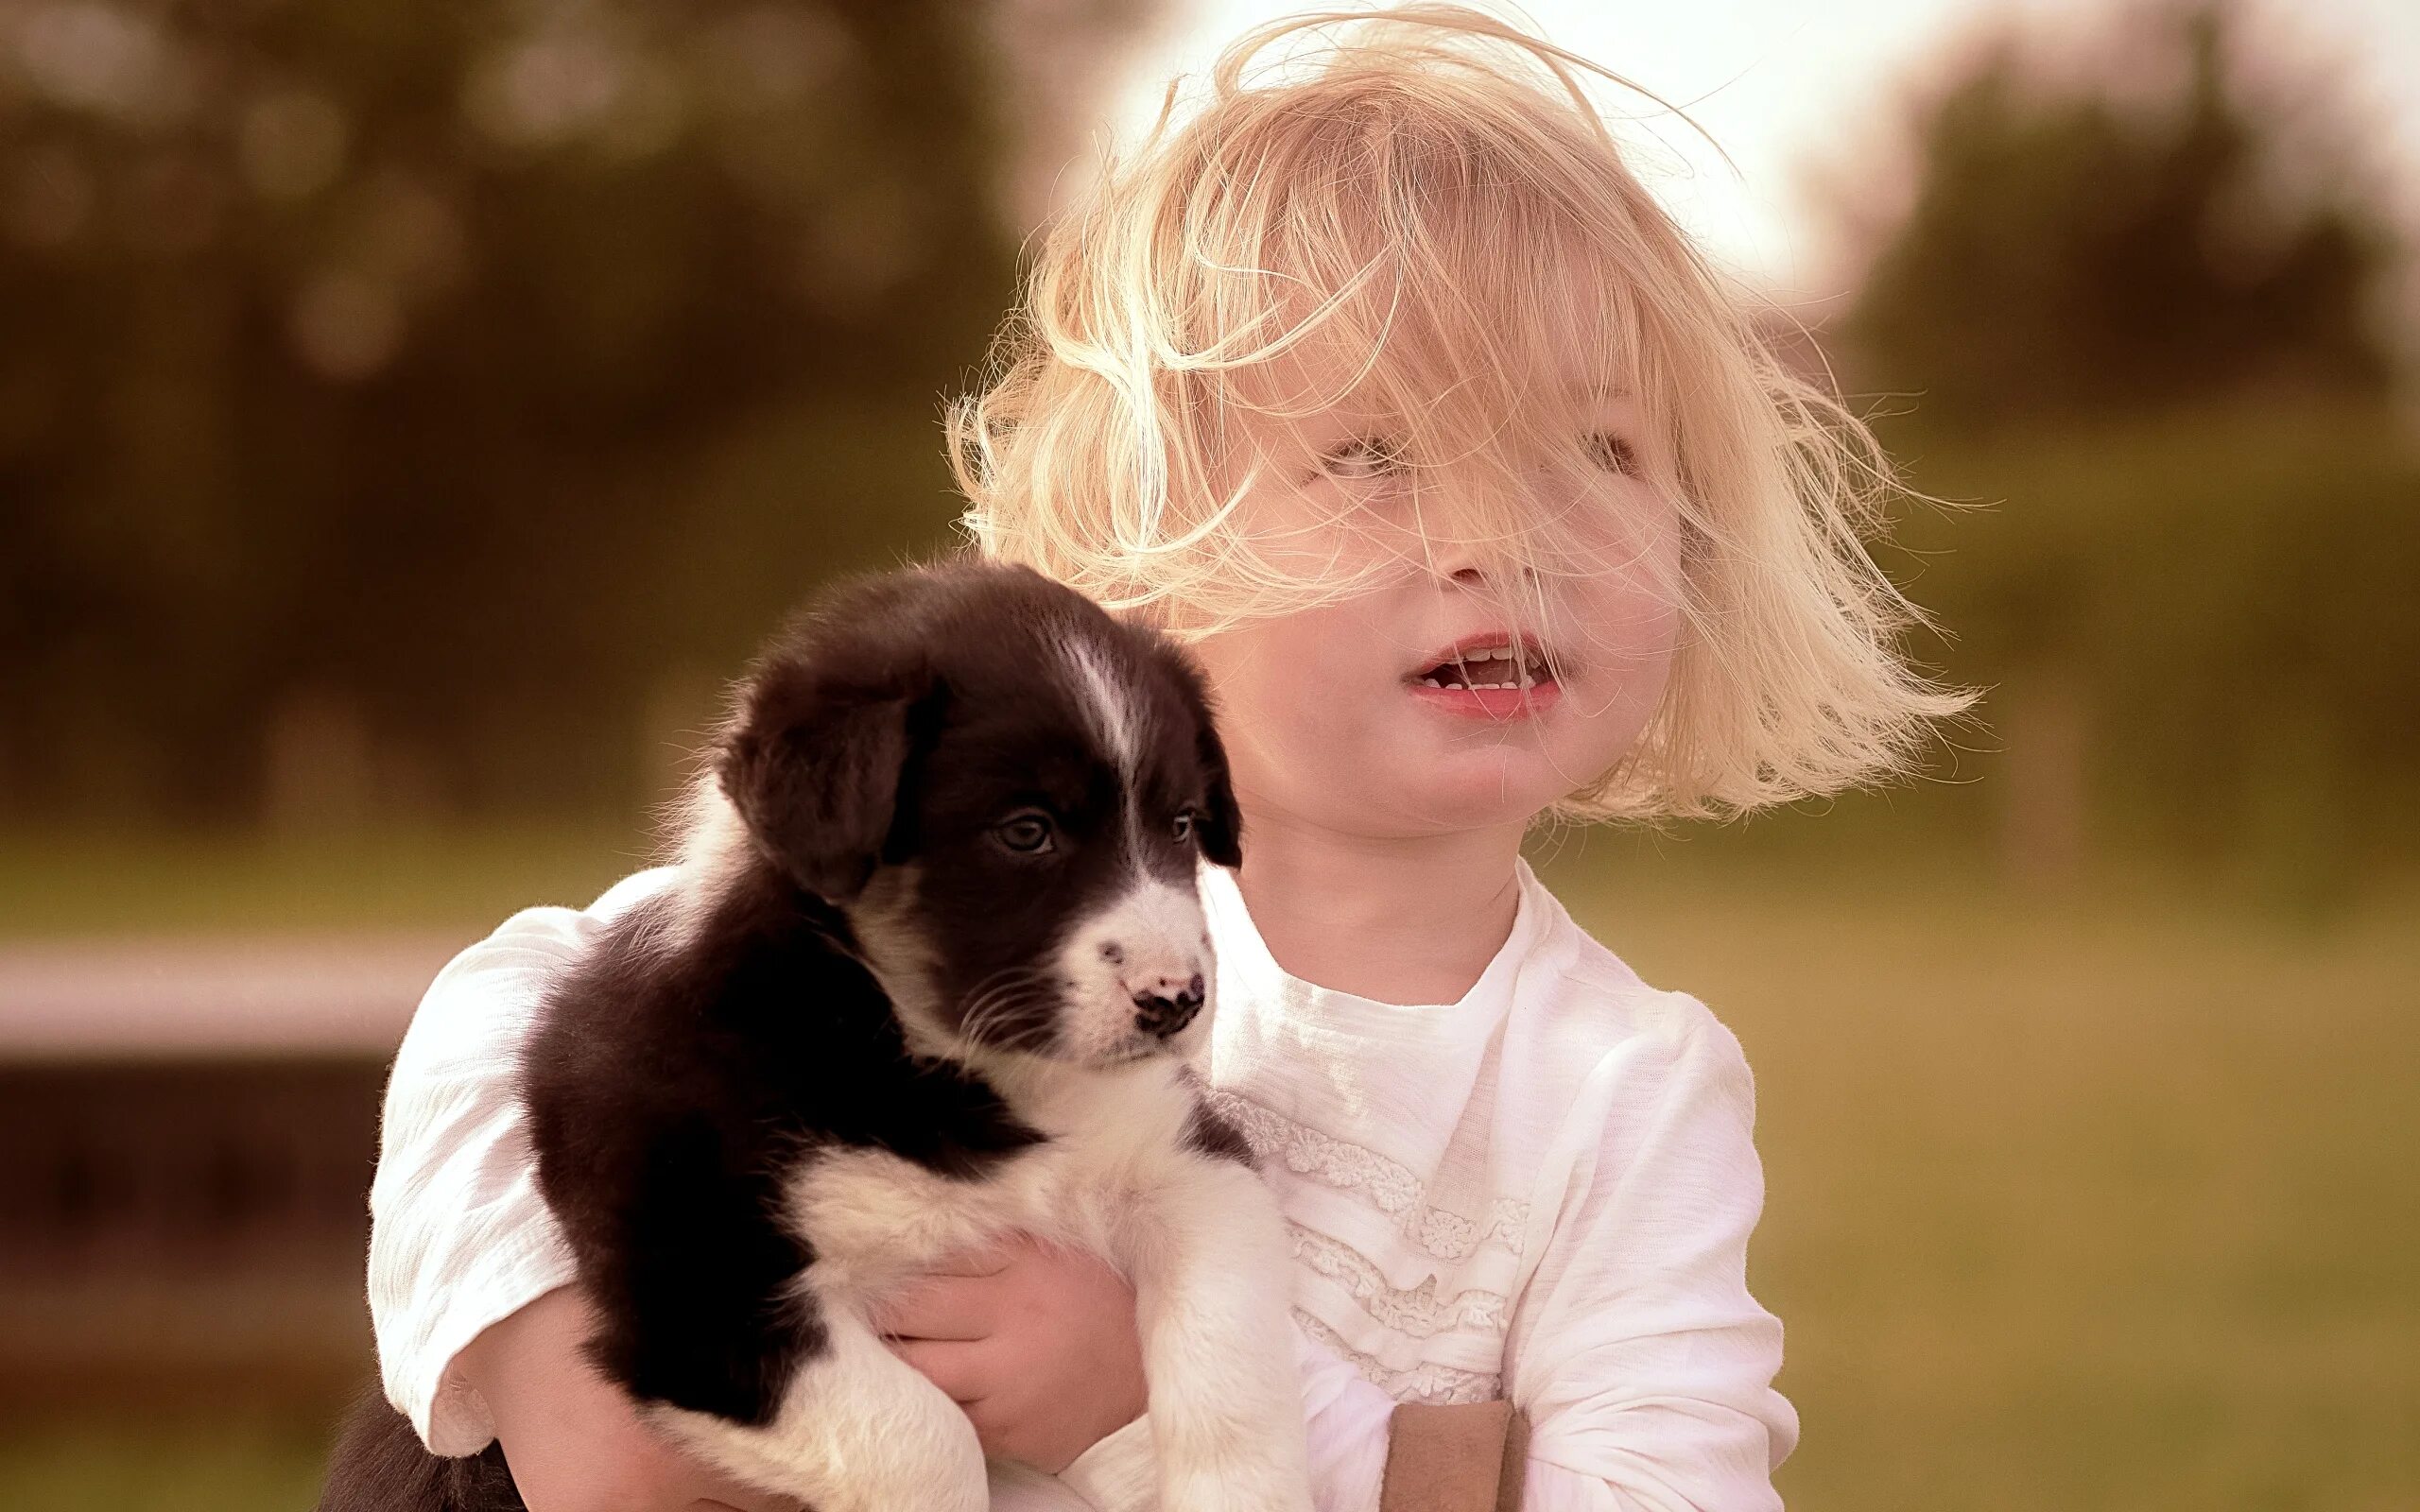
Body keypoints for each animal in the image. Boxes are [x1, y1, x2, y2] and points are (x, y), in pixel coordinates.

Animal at [324, 563, 1316, 1509]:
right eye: (1026, 832)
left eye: (1180, 824)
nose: (1177, 1000)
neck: (937, 1062)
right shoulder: (699, 1298)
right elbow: (923, 1439)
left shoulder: (1185, 1160)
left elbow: (1228, 1361)